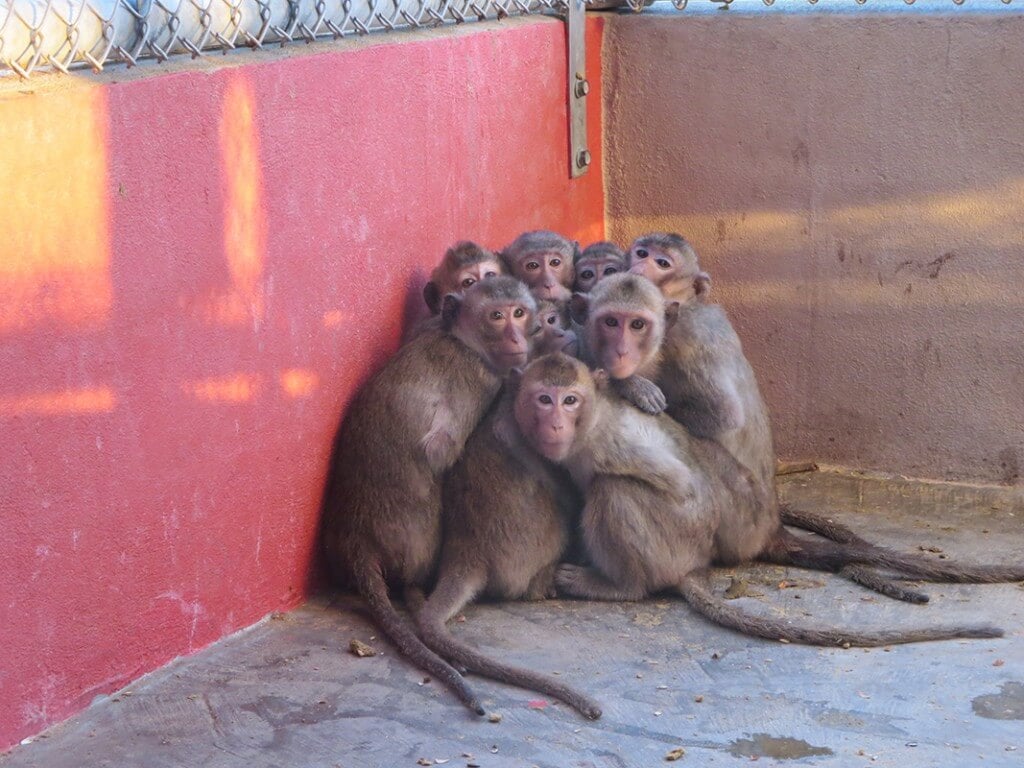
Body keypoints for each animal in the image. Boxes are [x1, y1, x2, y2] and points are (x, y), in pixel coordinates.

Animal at [320, 275, 538, 718]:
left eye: (519, 312)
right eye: (497, 315)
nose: (517, 336)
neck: (458, 338)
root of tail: (356, 540)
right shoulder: (479, 380)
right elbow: (439, 451)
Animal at [514, 353, 1003, 647]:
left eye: (569, 400)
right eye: (543, 399)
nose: (554, 423)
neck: (591, 421)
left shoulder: (607, 442)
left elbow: (680, 485)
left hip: (671, 549)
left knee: (614, 489)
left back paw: (624, 585)